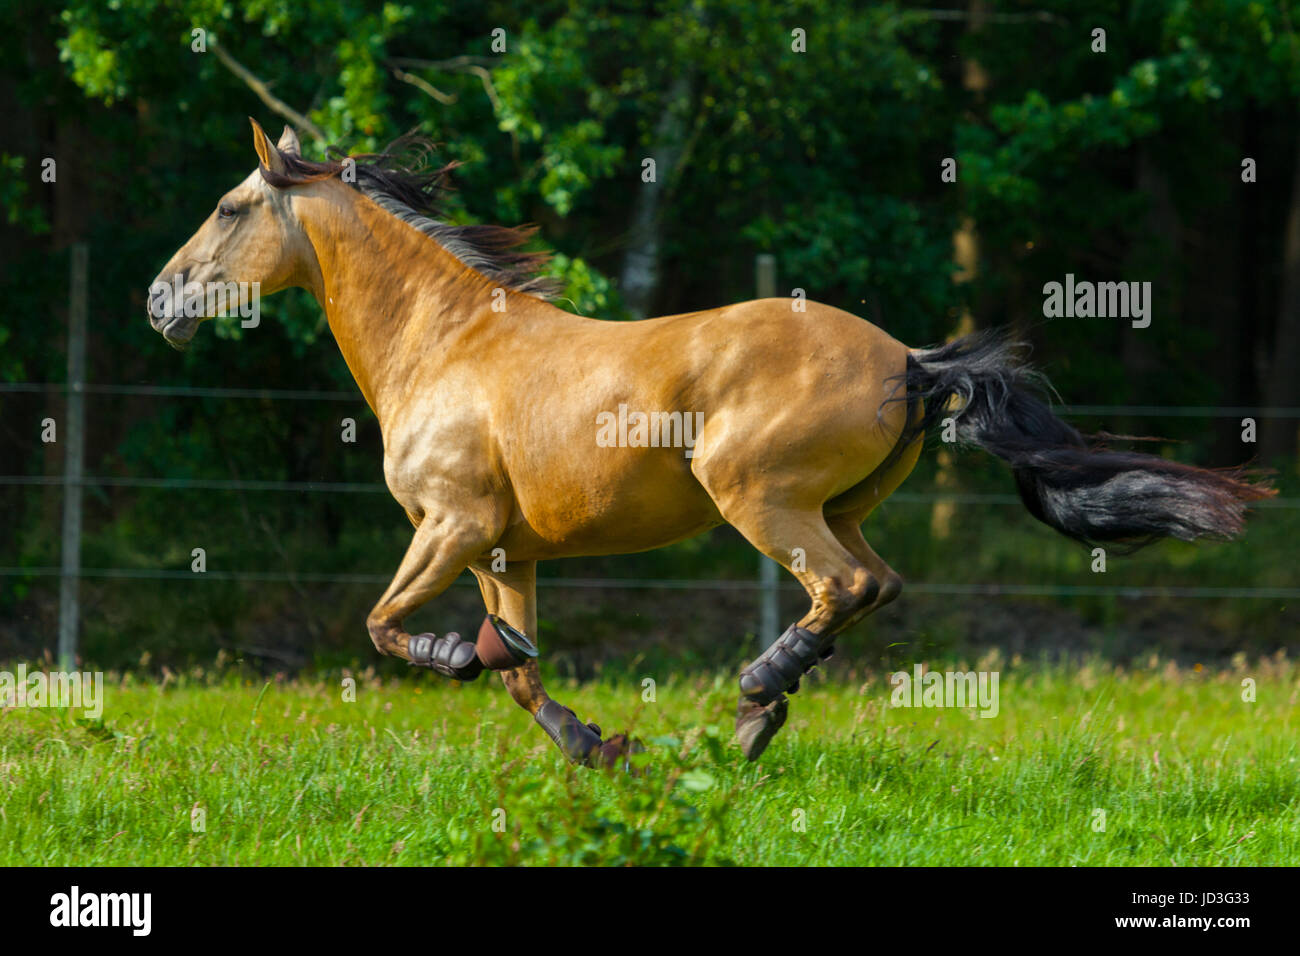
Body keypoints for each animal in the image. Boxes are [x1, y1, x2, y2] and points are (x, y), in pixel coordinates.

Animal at [147, 120, 1274, 766]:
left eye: (229, 206)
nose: (160, 299)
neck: (445, 343)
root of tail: (909, 359)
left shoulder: (450, 526)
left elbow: (385, 626)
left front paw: (457, 657)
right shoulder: (501, 550)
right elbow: (519, 668)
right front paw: (593, 744)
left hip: (756, 497)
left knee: (843, 587)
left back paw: (752, 703)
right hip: (835, 507)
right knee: (876, 582)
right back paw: (760, 705)